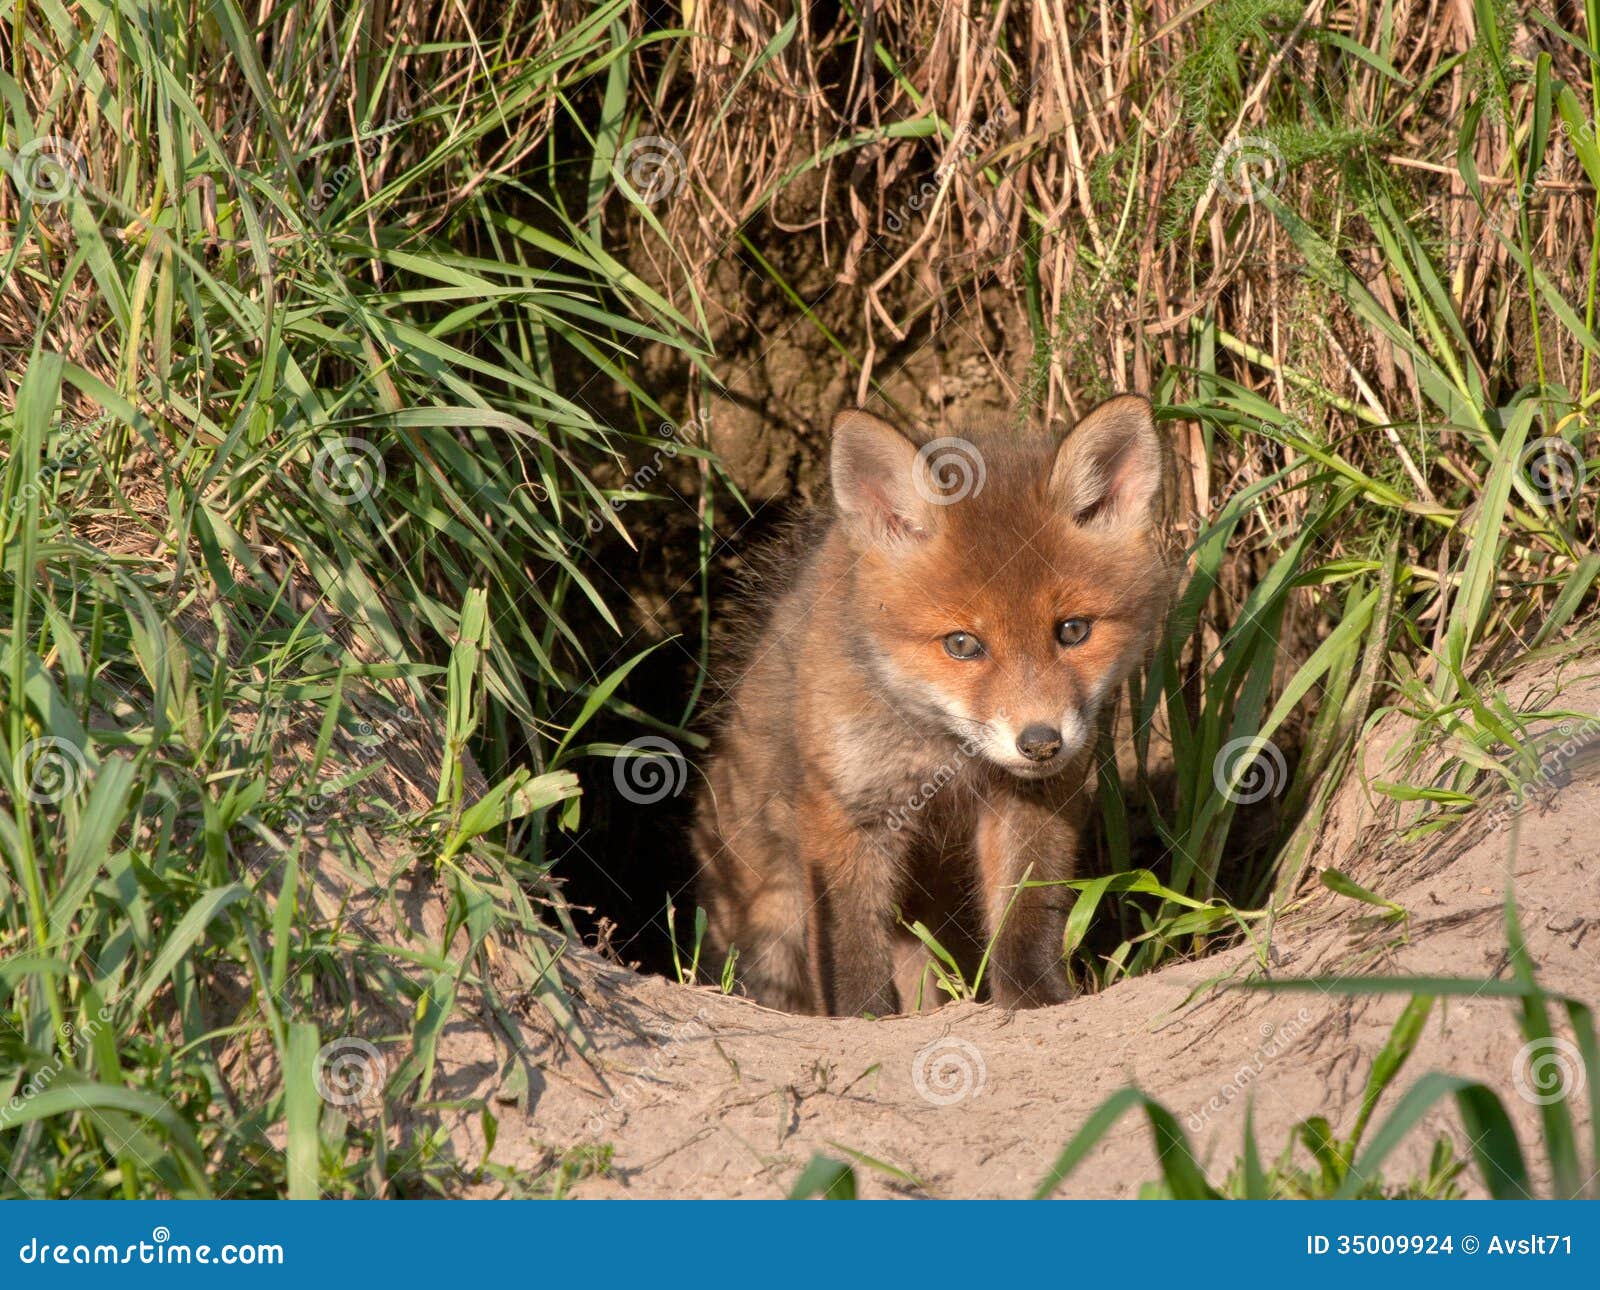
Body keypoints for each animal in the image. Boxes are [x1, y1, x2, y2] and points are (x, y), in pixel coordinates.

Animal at [691, 394, 1175, 1016]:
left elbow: (1025, 917)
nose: (1041, 742)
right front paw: (862, 1019)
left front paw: (1035, 1000)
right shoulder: (846, 809)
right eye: (962, 644)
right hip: (768, 917)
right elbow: (850, 944)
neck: (945, 755)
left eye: (1073, 630)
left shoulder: (1034, 801)